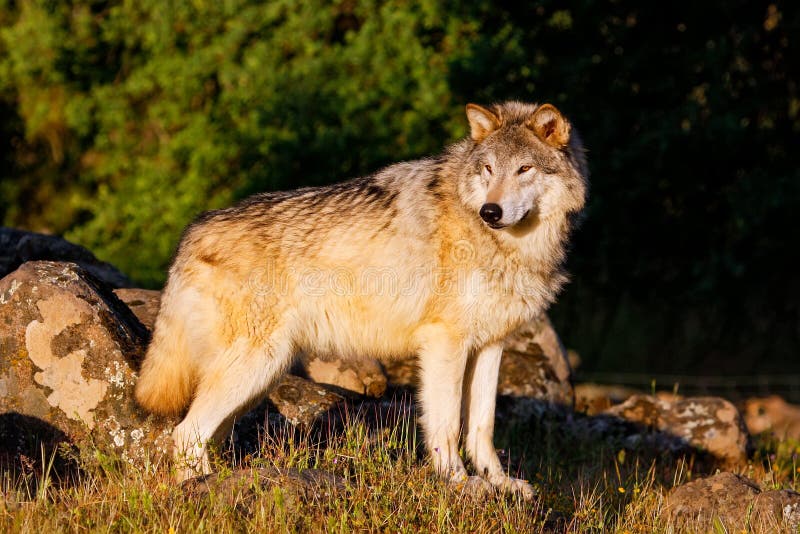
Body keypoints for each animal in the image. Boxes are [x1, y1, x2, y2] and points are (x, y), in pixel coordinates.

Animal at [135, 101, 588, 498]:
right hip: (255, 364)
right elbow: (445, 425)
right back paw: (196, 491)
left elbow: (482, 427)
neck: (508, 245)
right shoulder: (445, 343)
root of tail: (192, 231)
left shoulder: (490, 345)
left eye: (524, 168)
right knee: (186, 432)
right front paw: (460, 484)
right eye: (488, 169)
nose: (490, 212)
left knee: (206, 434)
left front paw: (501, 484)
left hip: (261, 375)